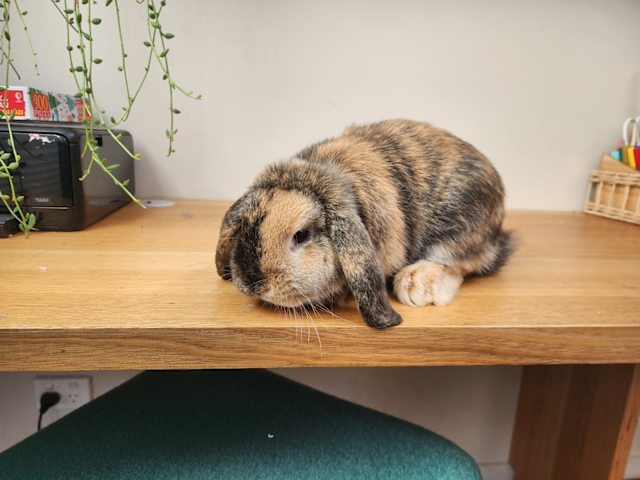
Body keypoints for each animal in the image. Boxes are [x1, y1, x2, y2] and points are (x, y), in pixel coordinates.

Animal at [215, 119, 514, 329]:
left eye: (300, 235)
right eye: (245, 226)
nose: (253, 283)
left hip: (459, 222)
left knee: (462, 262)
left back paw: (414, 285)